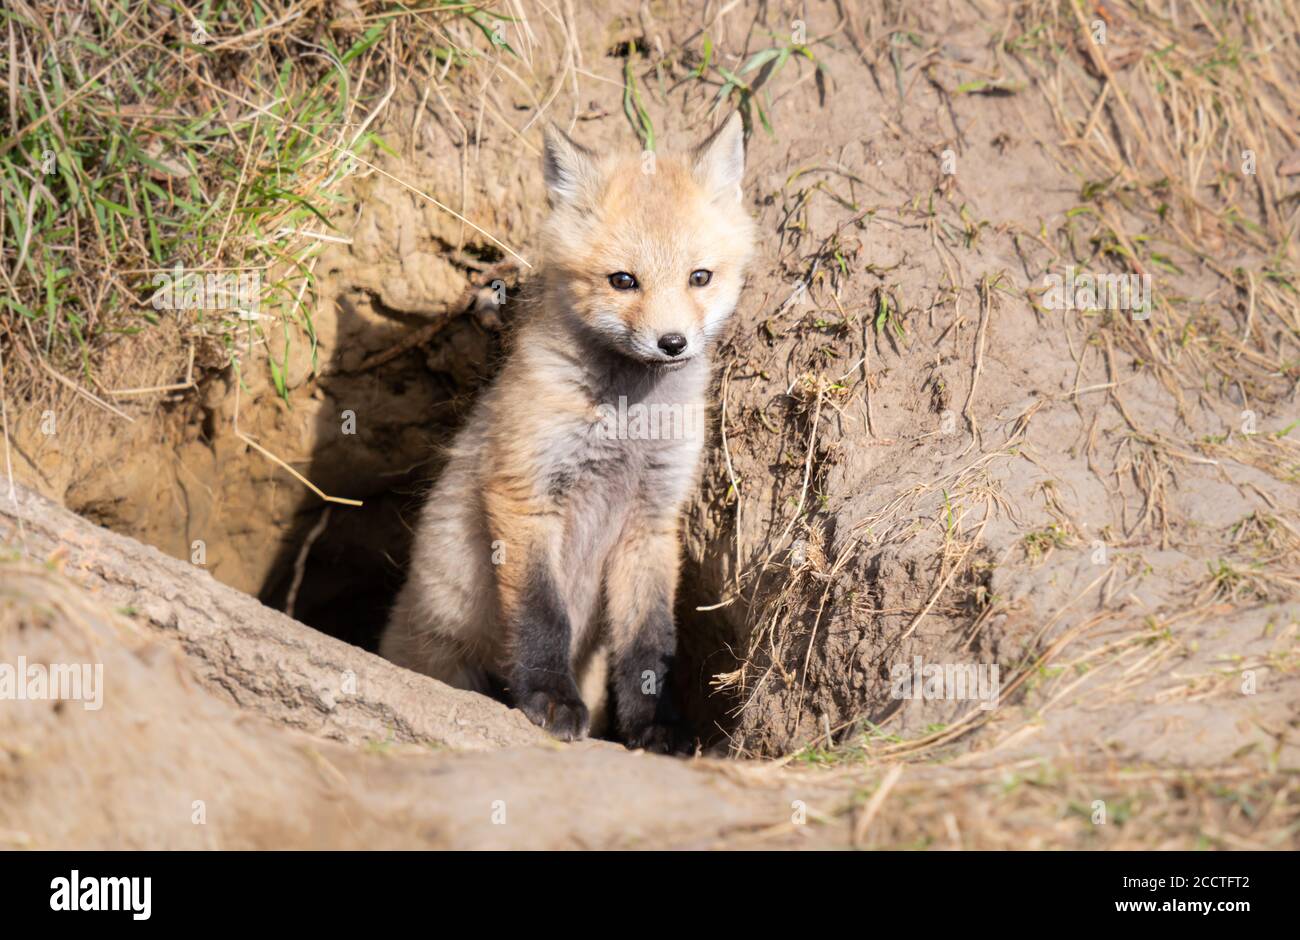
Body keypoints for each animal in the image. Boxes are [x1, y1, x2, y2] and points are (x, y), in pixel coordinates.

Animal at [378, 112, 755, 749]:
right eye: (623, 280)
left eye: (699, 276)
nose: (672, 342)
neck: (629, 423)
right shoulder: (526, 495)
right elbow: (541, 615)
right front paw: (549, 699)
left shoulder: (651, 520)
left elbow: (650, 642)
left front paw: (655, 726)